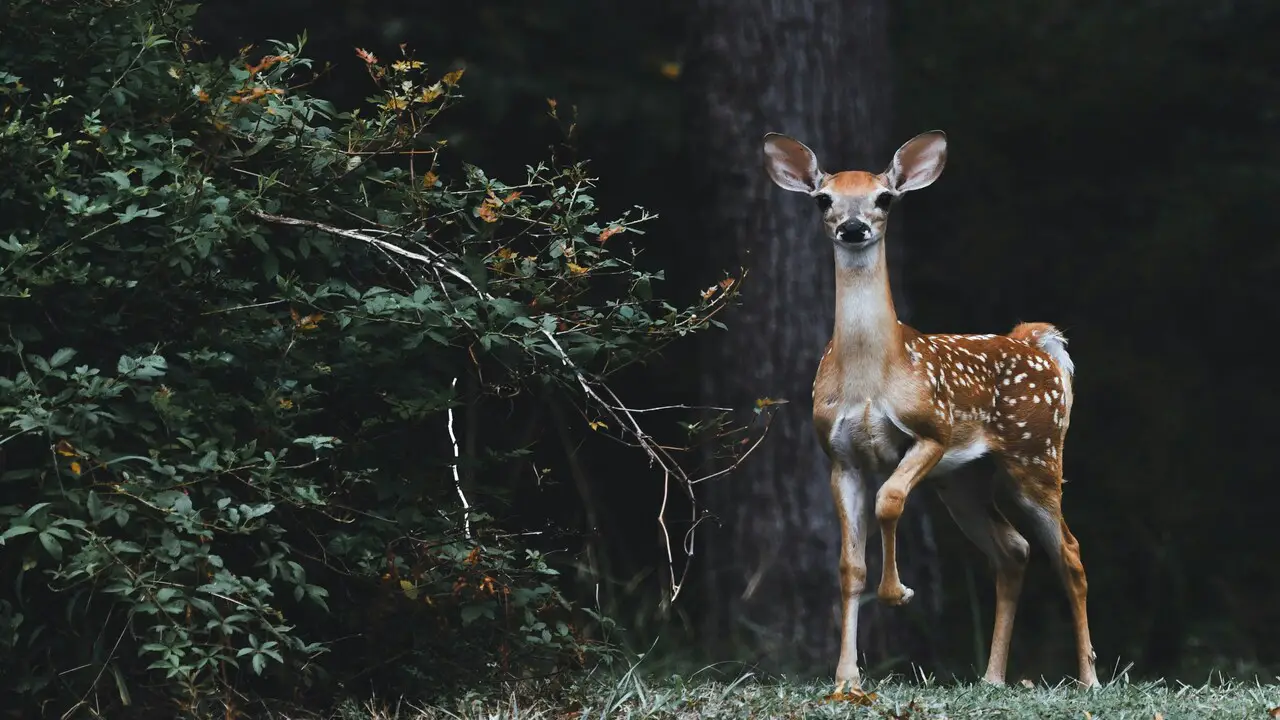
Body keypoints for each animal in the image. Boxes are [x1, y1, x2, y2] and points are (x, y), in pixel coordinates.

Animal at [757, 130, 1100, 696]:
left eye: (884, 198)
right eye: (824, 200)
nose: (854, 227)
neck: (872, 376)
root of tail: (1037, 343)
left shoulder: (932, 431)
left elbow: (891, 501)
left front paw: (898, 592)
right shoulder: (839, 456)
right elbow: (849, 565)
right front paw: (846, 677)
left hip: (1036, 454)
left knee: (1068, 552)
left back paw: (1089, 679)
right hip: (963, 481)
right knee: (1012, 549)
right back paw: (992, 678)